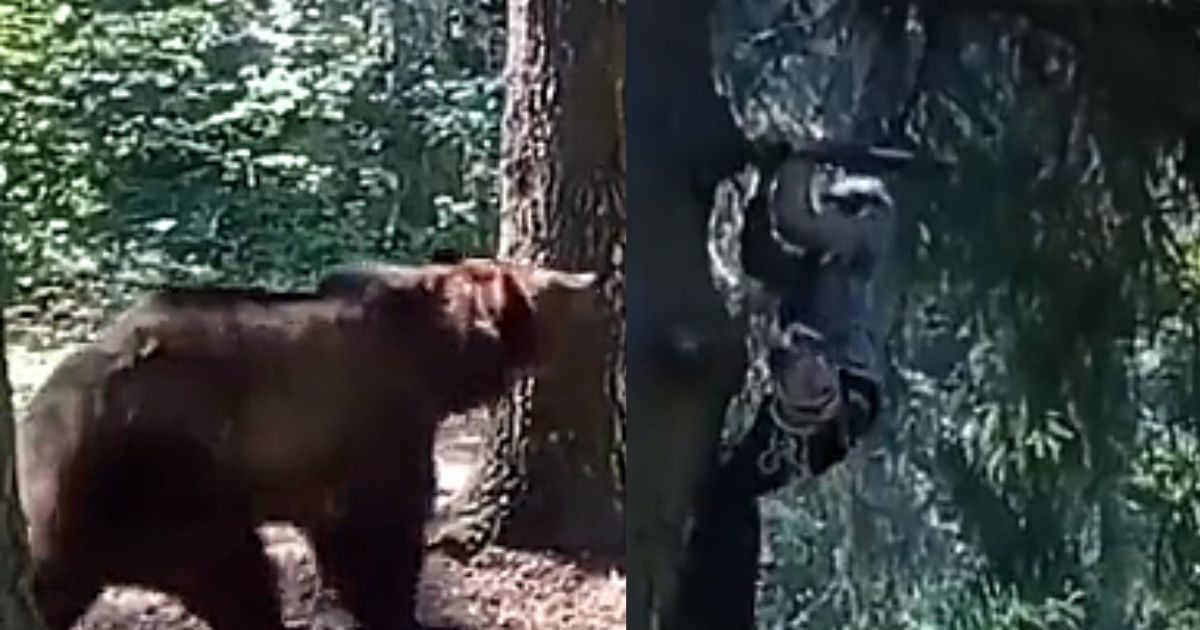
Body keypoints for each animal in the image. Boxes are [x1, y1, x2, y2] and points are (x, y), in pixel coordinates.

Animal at [16, 257, 597, 630]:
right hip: (160, 483)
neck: (435, 356)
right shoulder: (376, 422)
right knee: (236, 574)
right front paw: (396, 611)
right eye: (547, 287)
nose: (589, 277)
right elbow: (378, 538)